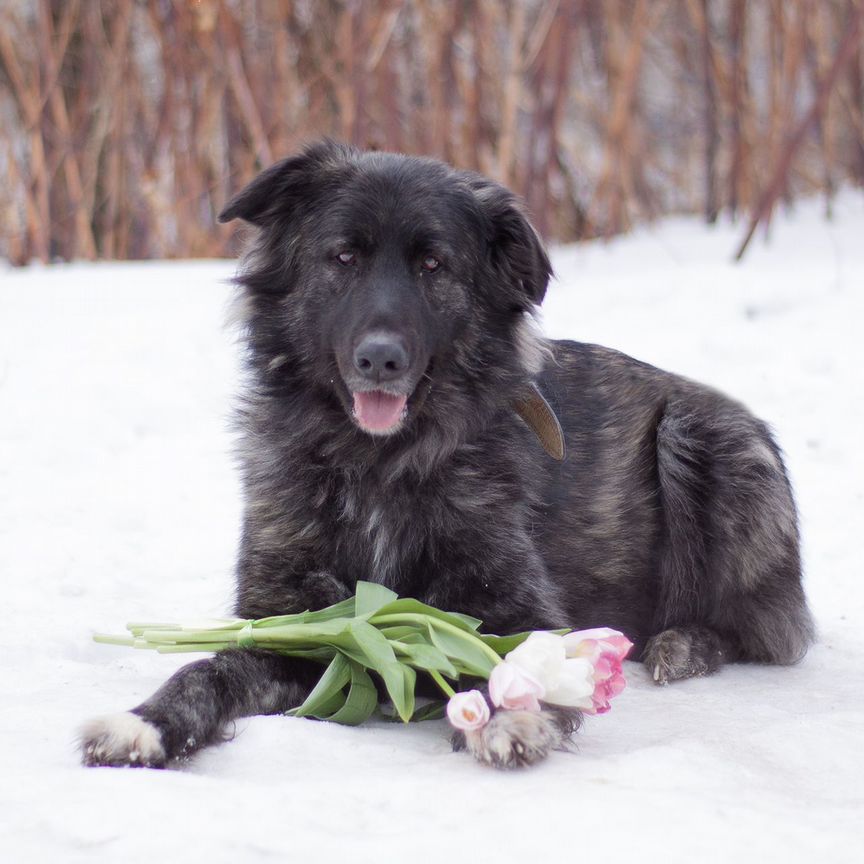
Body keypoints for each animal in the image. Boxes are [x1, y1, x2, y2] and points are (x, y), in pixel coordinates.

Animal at [77, 140, 812, 768]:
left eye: (434, 265)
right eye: (343, 257)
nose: (380, 359)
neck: (378, 463)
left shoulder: (517, 612)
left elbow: (507, 662)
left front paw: (509, 715)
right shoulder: (299, 625)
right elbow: (205, 669)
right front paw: (144, 722)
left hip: (703, 441)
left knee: (760, 629)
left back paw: (682, 644)